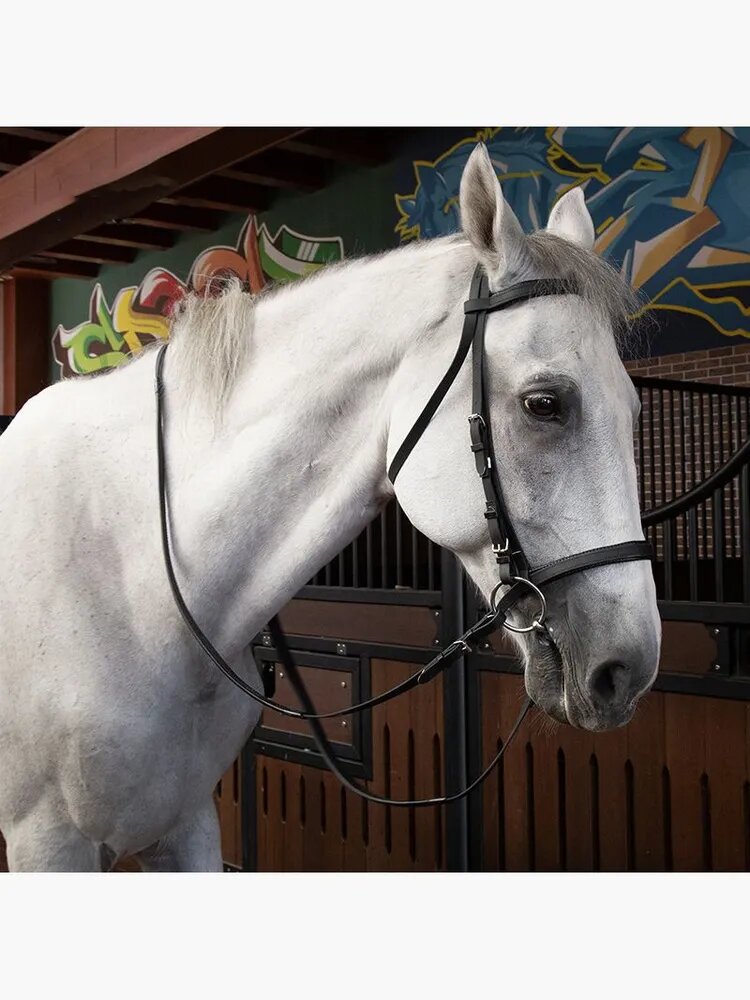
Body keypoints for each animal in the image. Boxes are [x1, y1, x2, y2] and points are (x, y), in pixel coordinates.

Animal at [0, 144, 660, 871]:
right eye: (545, 403)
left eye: (635, 409)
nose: (628, 671)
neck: (133, 579)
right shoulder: (47, 840)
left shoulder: (184, 824)